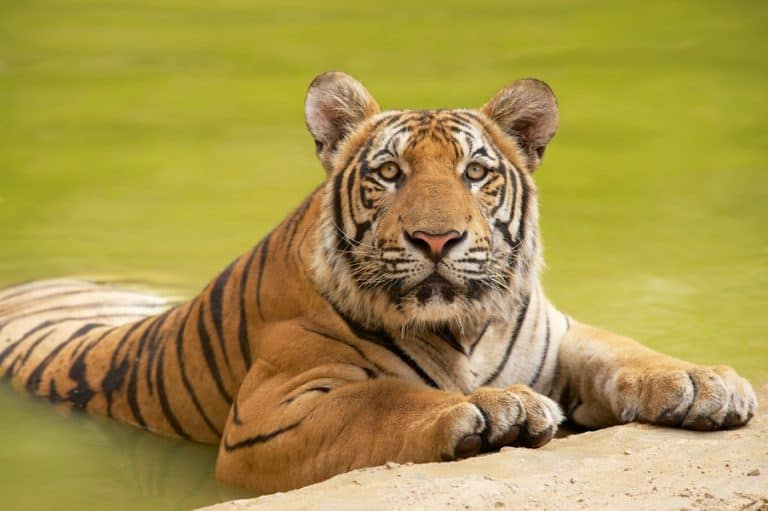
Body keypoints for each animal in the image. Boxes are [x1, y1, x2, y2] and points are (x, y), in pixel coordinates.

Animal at [0, 72, 757, 494]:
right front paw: (494, 409)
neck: (465, 329)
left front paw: (704, 382)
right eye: (390, 173)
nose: (436, 239)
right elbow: (383, 398)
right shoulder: (269, 413)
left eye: (476, 173)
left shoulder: (559, 333)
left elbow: (627, 349)